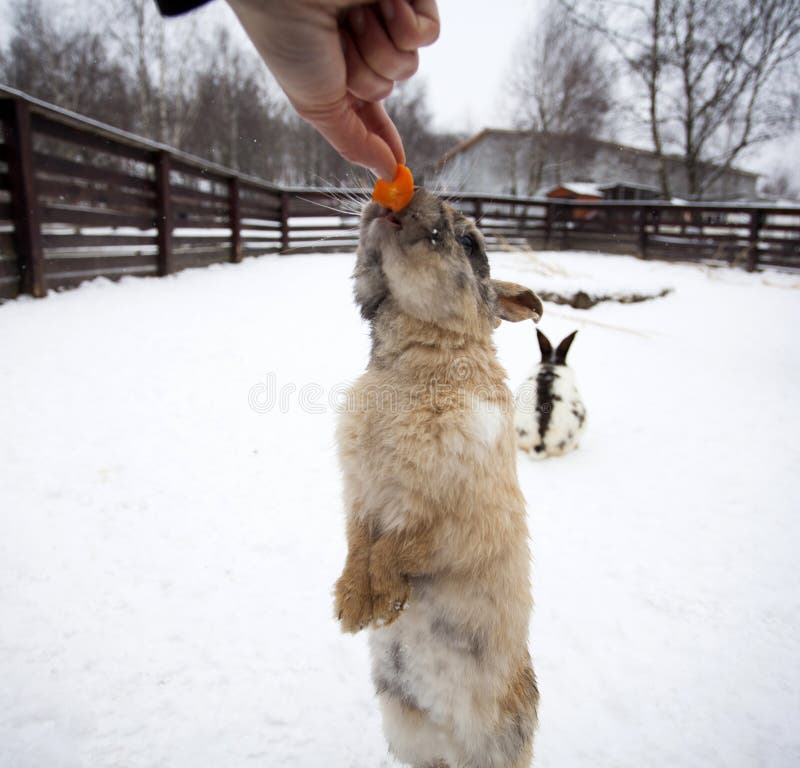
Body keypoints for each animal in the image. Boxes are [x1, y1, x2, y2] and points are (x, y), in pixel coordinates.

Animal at [333, 187, 542, 768]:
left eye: (470, 242)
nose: (392, 202)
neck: (423, 359)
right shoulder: (360, 497)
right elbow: (360, 544)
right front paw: (352, 609)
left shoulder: (456, 521)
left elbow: (399, 548)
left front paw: (380, 603)